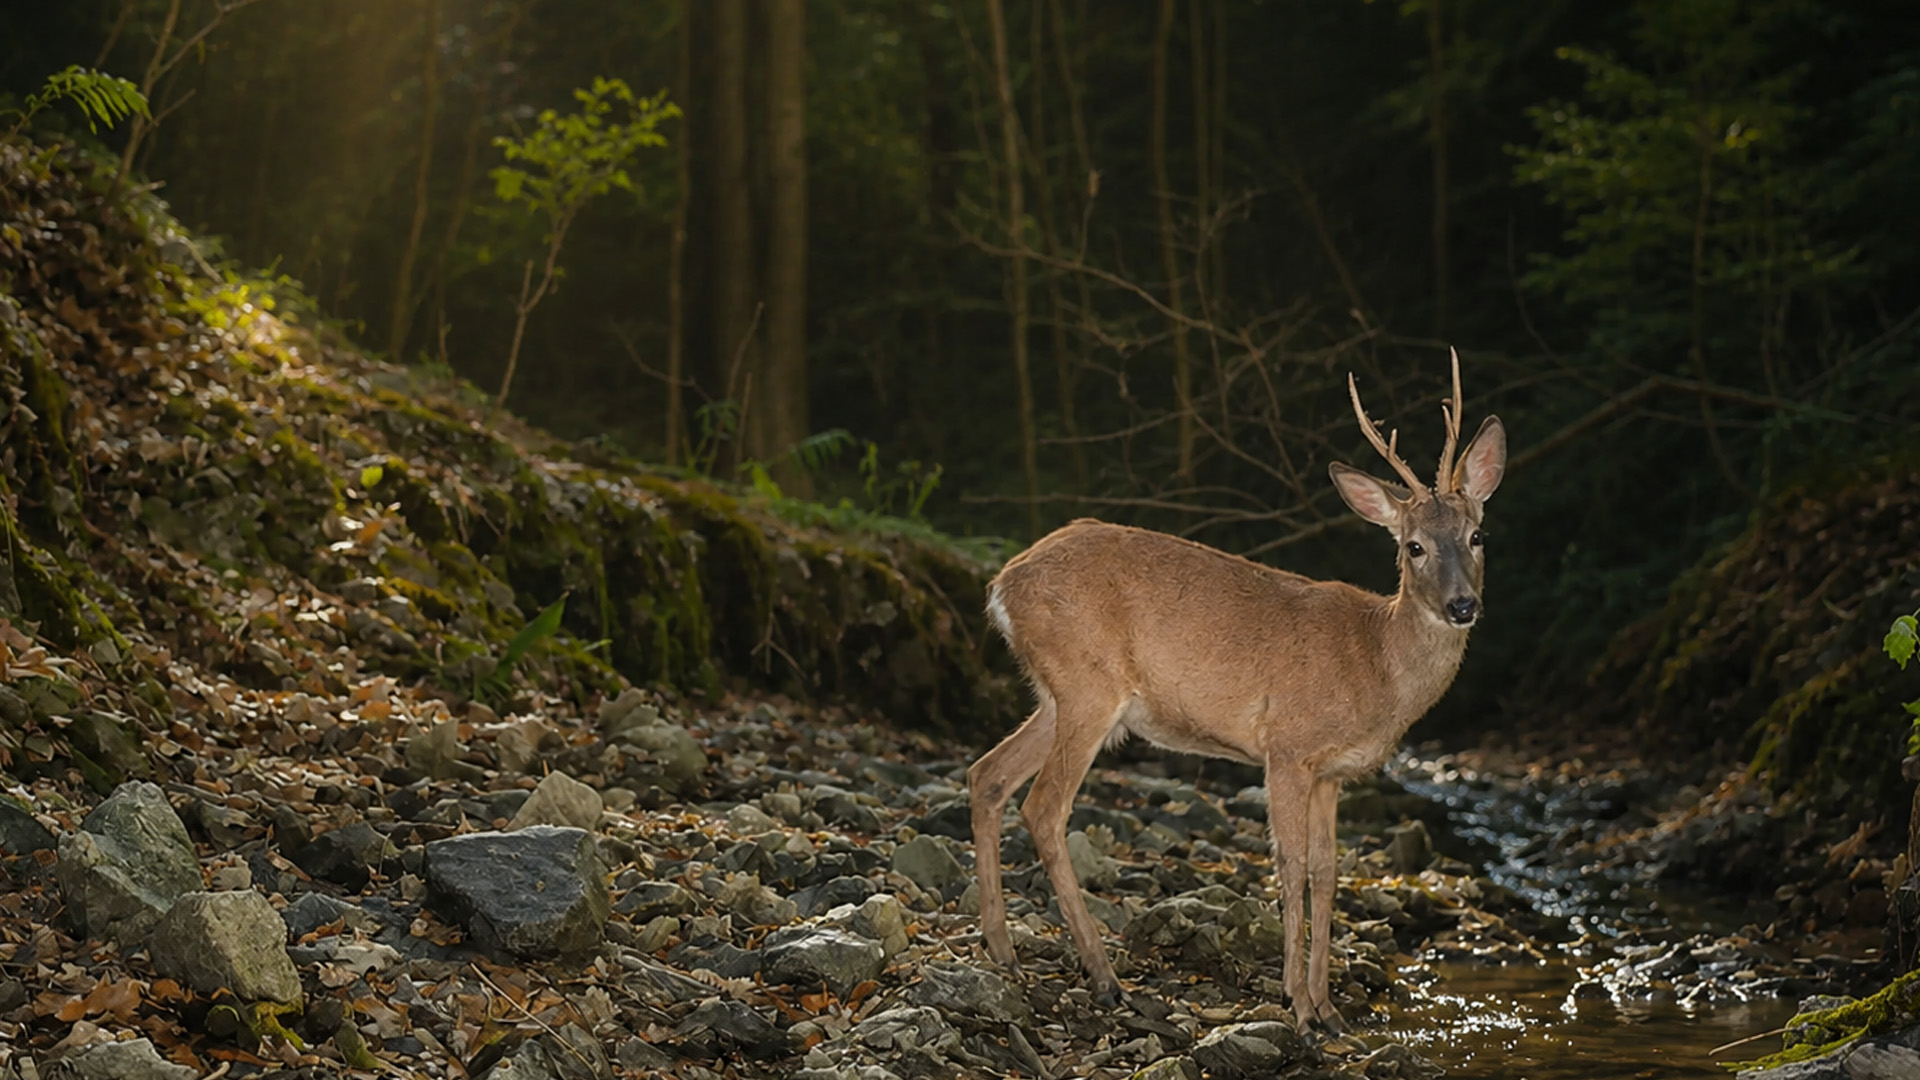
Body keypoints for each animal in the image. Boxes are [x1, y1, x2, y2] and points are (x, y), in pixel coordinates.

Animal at [968, 351, 1506, 1031]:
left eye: (1477, 536)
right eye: (1413, 547)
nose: (1463, 606)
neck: (1375, 661)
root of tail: (1002, 584)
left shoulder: (1332, 773)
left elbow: (1328, 871)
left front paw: (1330, 1011)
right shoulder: (1287, 747)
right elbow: (1290, 865)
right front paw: (1298, 1008)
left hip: (1058, 695)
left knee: (987, 774)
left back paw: (1002, 950)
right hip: (1086, 684)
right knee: (1043, 807)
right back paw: (1104, 977)